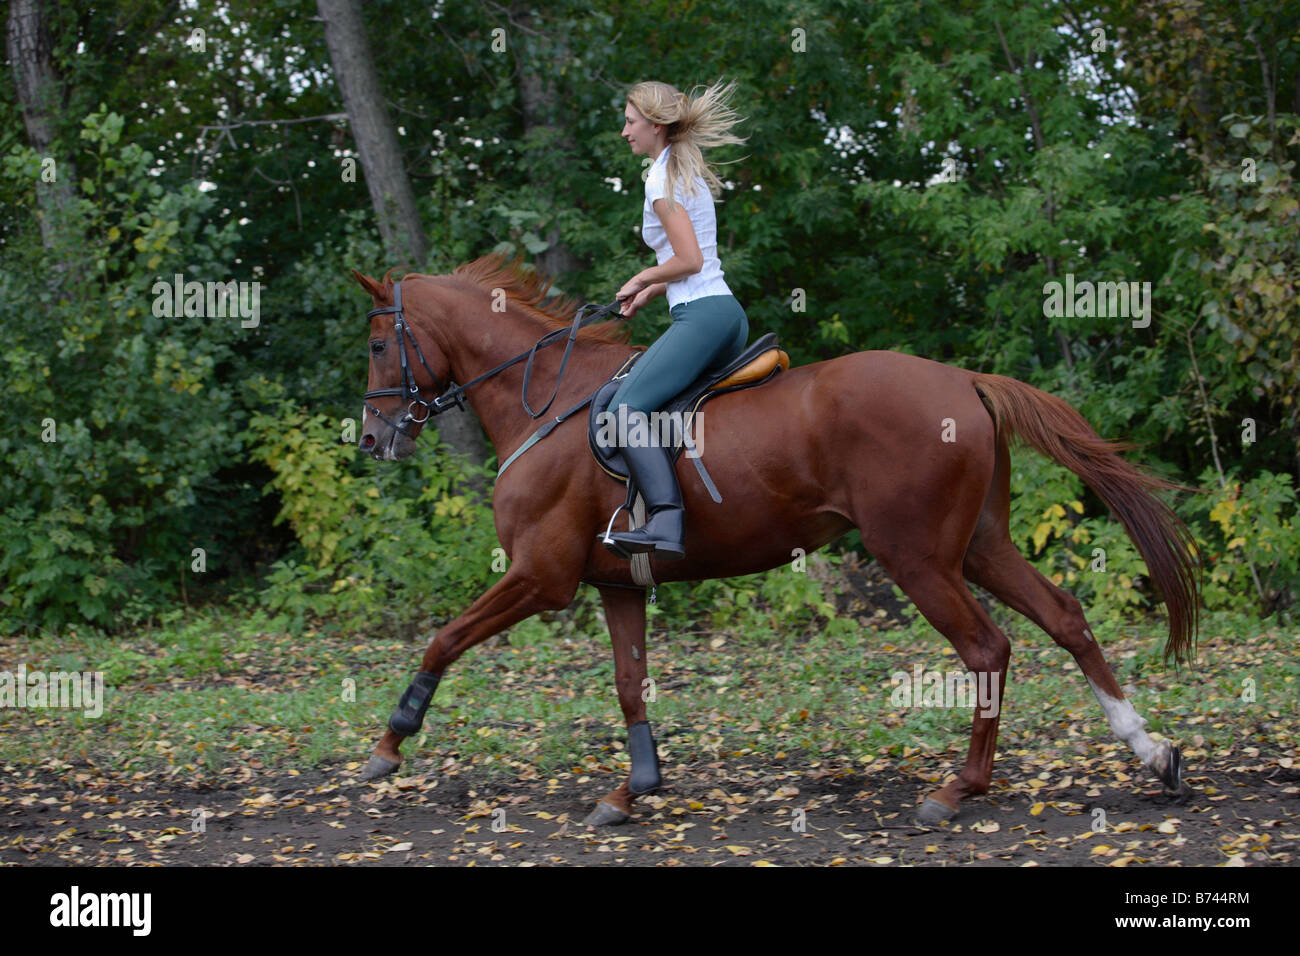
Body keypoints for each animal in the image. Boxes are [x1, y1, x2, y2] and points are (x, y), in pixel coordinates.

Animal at [351, 251, 1199, 826]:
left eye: (377, 346)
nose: (370, 439)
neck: (544, 403)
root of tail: (964, 380)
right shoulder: (617, 584)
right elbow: (629, 684)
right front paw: (633, 789)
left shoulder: (539, 575)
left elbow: (444, 638)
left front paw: (390, 744)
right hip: (981, 547)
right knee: (1064, 618)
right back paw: (1150, 750)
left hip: (918, 557)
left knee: (988, 648)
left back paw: (958, 788)